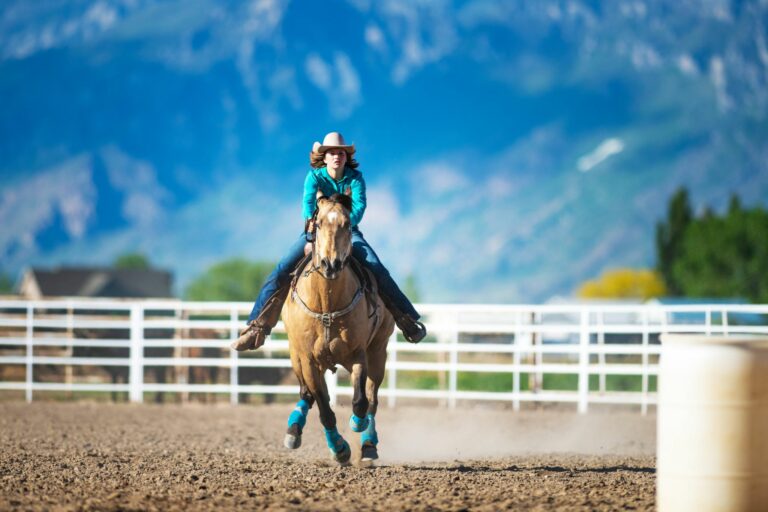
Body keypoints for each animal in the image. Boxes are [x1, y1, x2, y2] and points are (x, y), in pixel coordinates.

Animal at [280, 193, 395, 465]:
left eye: (348, 225)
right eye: (319, 224)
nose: (330, 264)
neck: (327, 306)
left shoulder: (358, 354)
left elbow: (360, 401)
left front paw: (356, 424)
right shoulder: (309, 361)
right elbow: (324, 408)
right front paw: (340, 449)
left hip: (378, 353)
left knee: (372, 399)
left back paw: (368, 446)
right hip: (295, 355)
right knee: (306, 394)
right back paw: (294, 431)